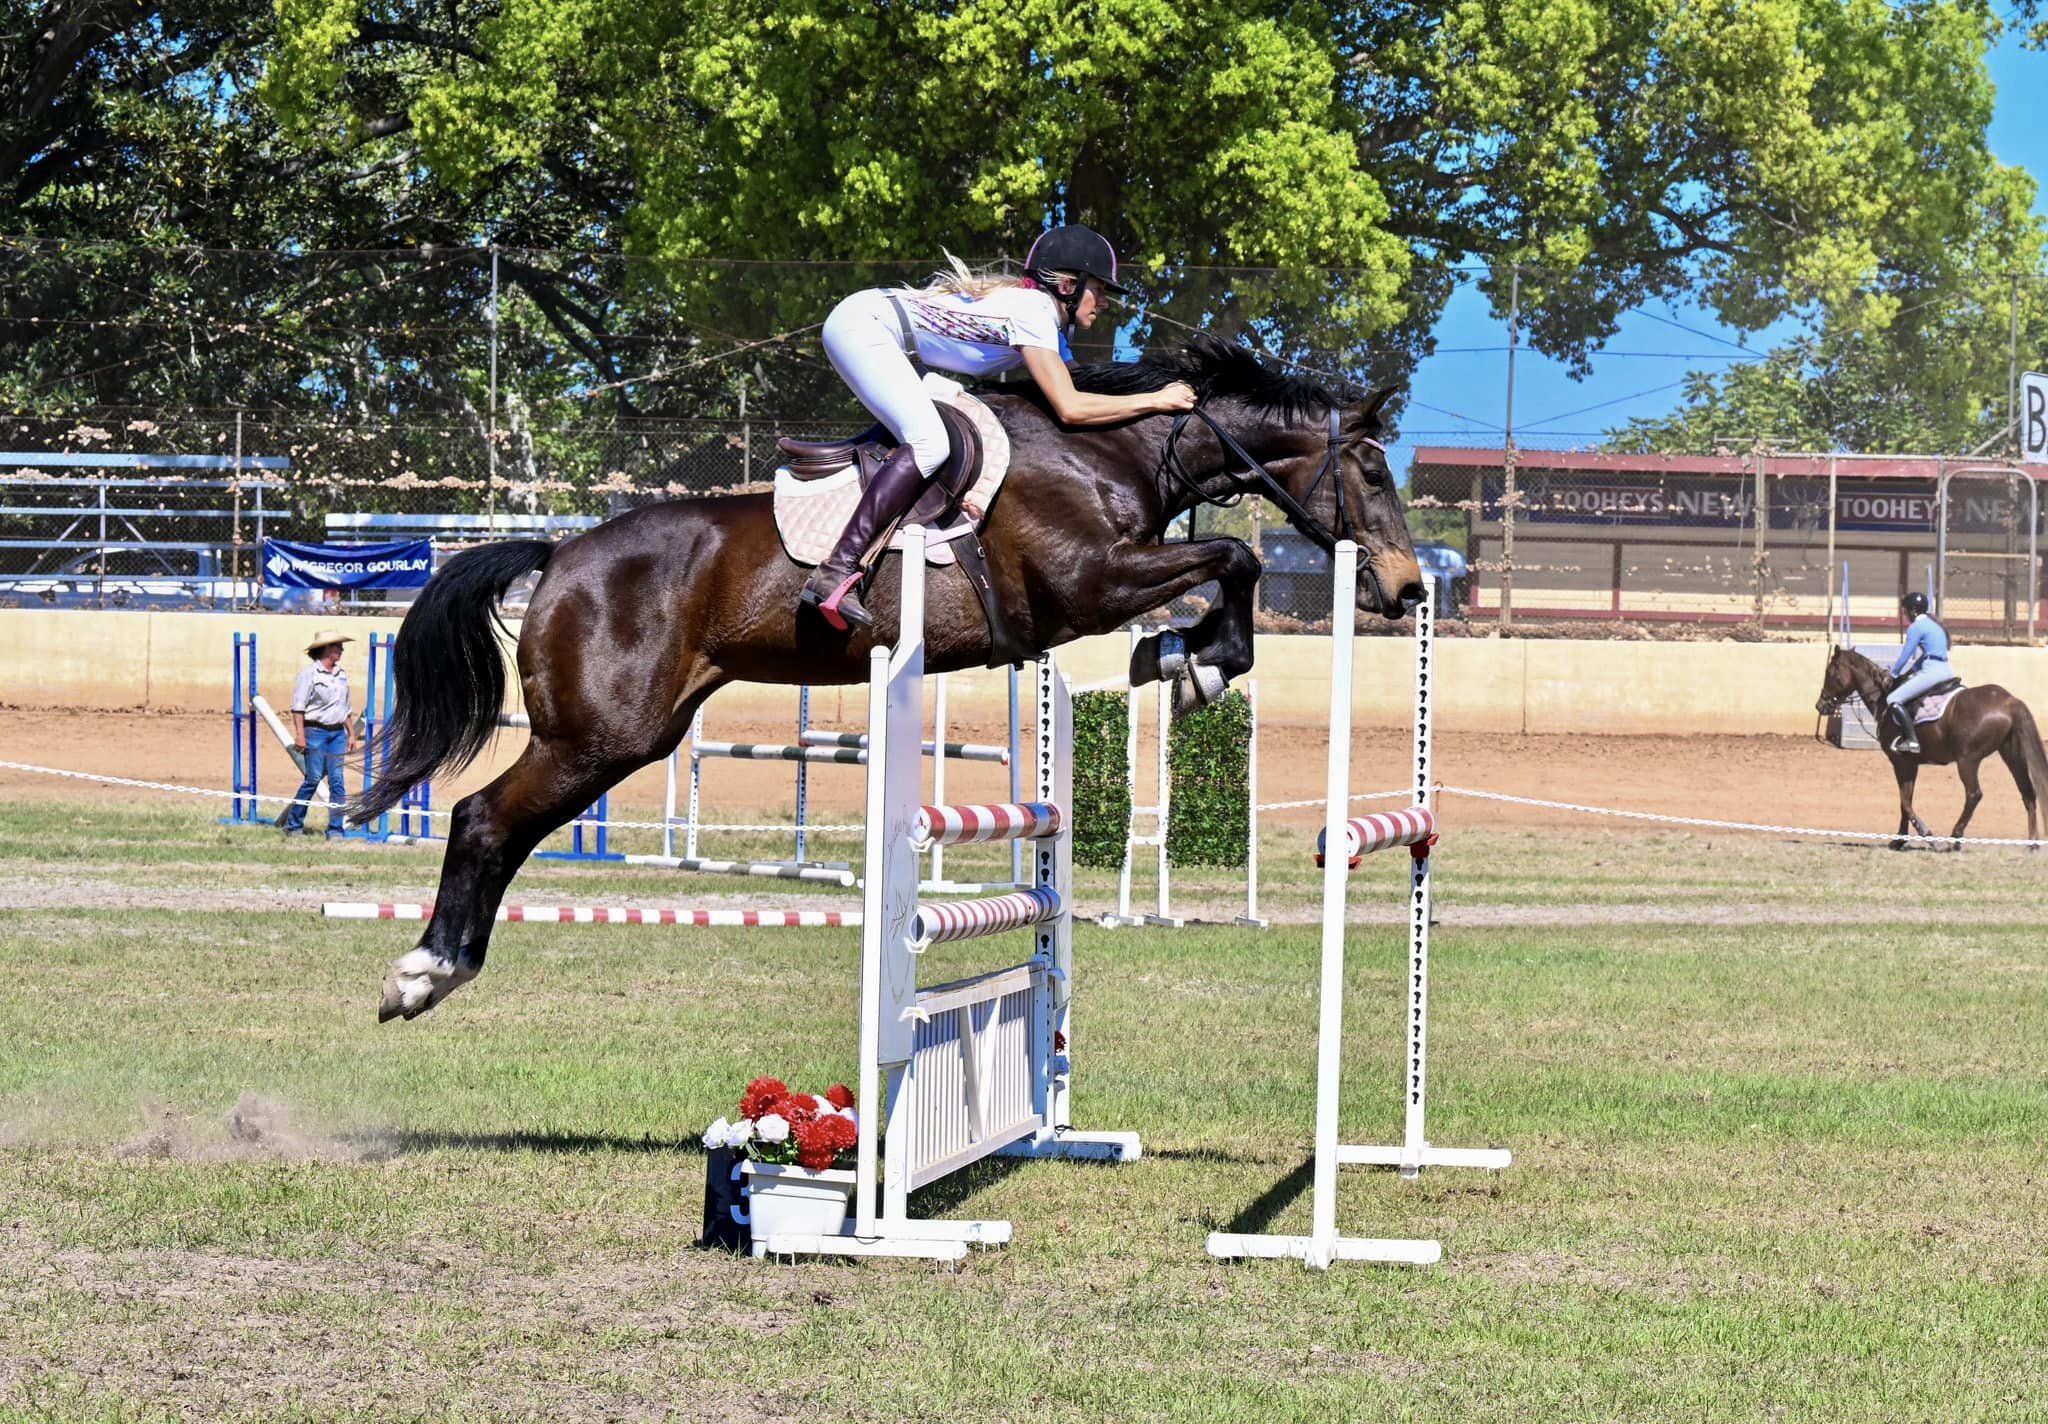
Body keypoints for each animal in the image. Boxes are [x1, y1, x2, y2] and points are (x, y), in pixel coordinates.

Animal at [354, 336, 1425, 1021]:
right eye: (1374, 472)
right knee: (484, 819)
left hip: (631, 734)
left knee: (500, 825)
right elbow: (1234, 561)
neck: (1108, 448)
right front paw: (1189, 660)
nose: (1409, 588)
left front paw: (1189, 660)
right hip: (599, 735)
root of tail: (560, 556)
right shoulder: (1088, 583)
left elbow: (1226, 572)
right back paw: (423, 973)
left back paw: (435, 970)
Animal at [1814, 645, 2048, 850]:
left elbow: (1905, 802)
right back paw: (2032, 844)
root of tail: (2009, 701)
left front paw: (1929, 837)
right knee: (2028, 793)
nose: (1820, 706)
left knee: (1974, 794)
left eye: (1830, 672)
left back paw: (1955, 838)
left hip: (1968, 760)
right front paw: (1899, 840)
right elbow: (1905, 801)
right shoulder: (1910, 765)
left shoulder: (1901, 762)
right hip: (2011, 755)